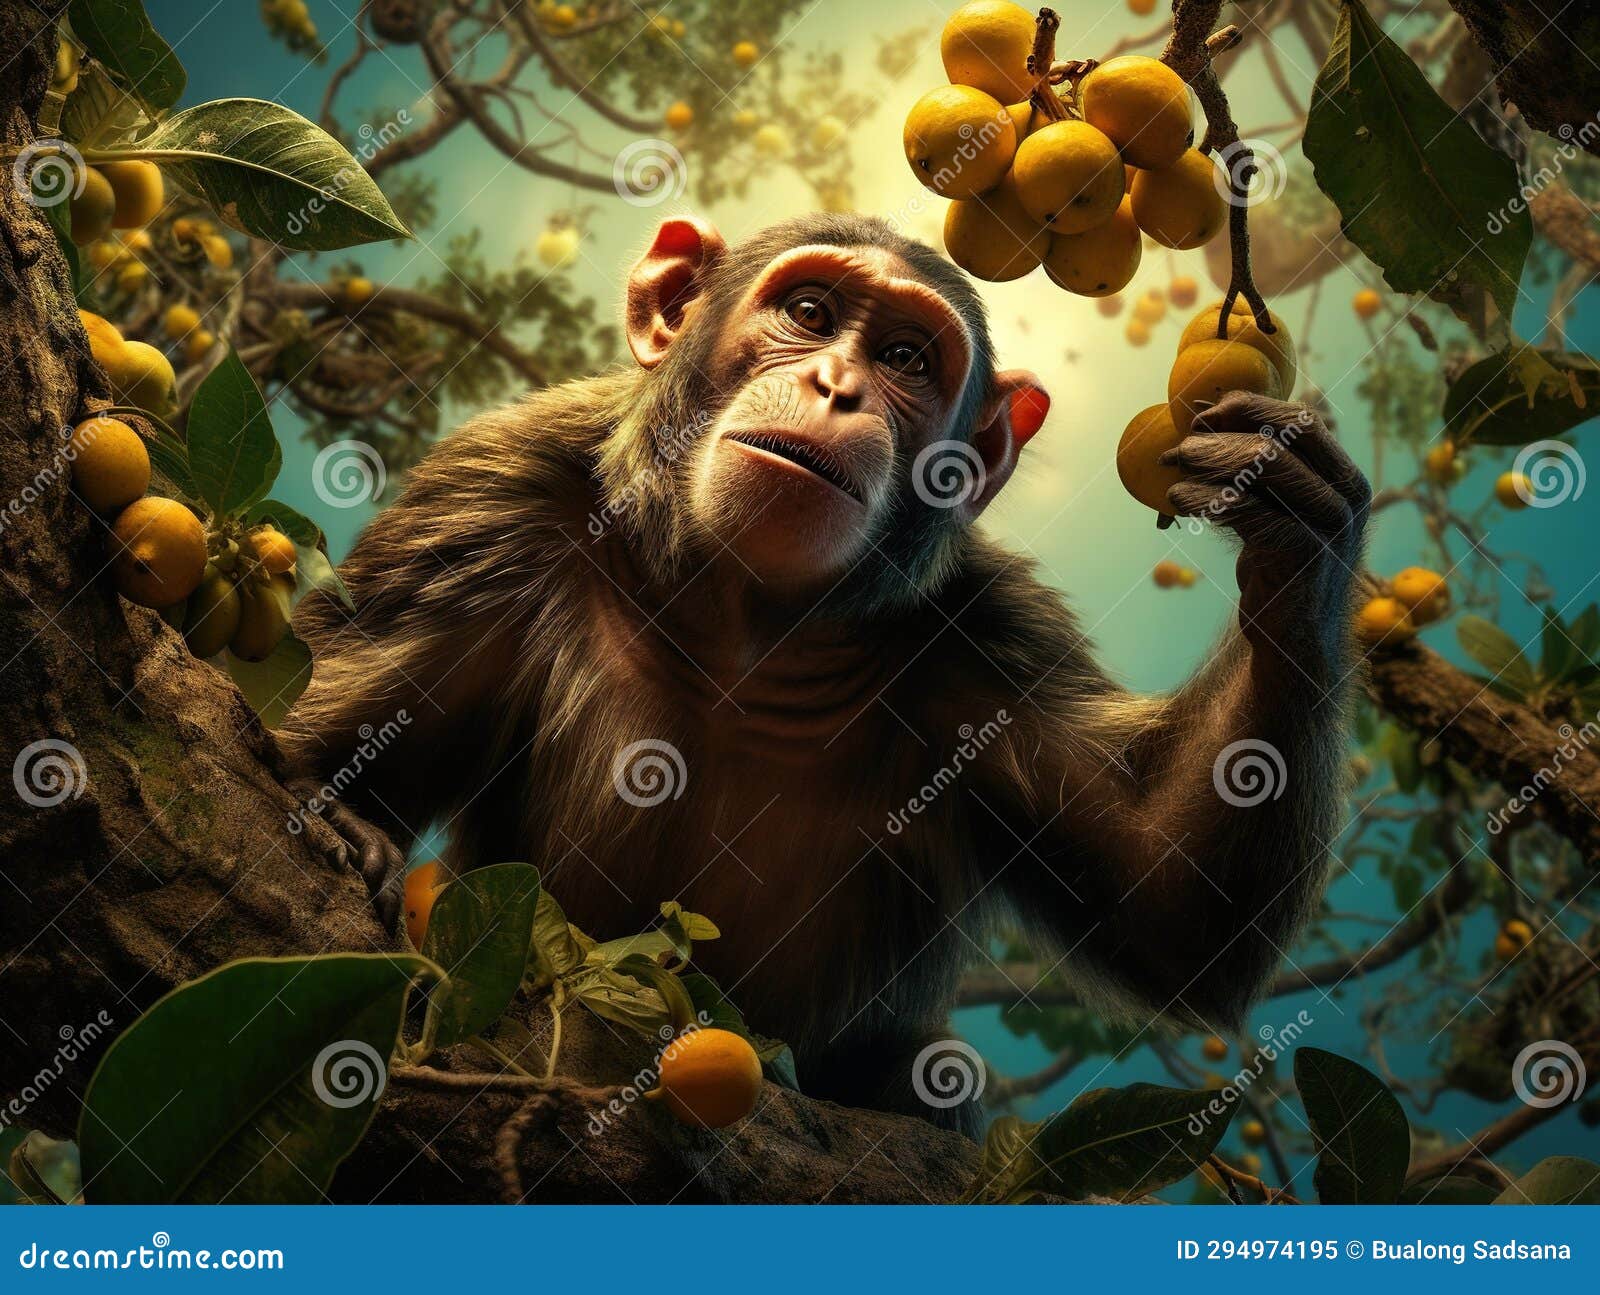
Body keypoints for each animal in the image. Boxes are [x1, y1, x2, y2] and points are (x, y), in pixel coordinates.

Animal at [282, 212, 1369, 1135]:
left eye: (904, 359)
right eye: (808, 314)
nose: (838, 386)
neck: (745, 616)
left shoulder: (994, 639)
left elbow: (1167, 892)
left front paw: (1296, 518)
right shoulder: (490, 496)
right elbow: (328, 734)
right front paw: (342, 817)